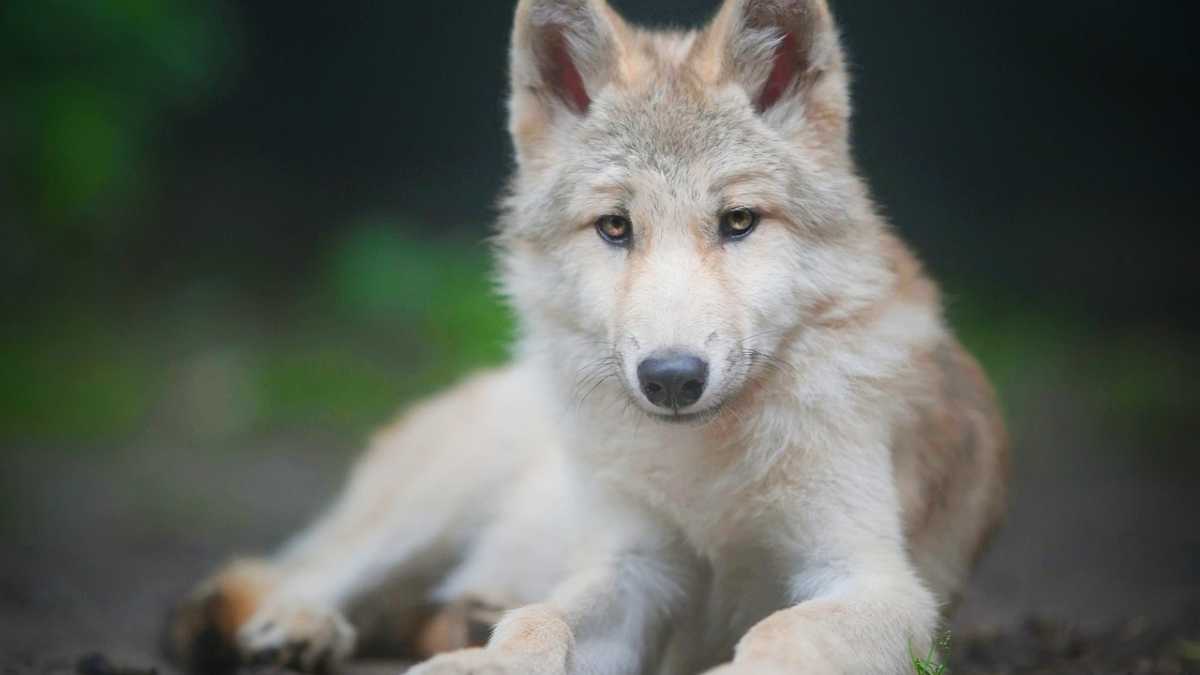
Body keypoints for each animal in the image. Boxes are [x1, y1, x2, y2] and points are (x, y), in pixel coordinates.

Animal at [165, 1, 1008, 673]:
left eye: (739, 221)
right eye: (614, 227)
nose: (672, 376)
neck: (706, 468)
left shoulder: (881, 581)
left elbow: (781, 634)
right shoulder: (635, 566)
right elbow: (538, 617)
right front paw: (482, 662)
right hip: (424, 509)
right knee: (293, 574)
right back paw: (298, 627)